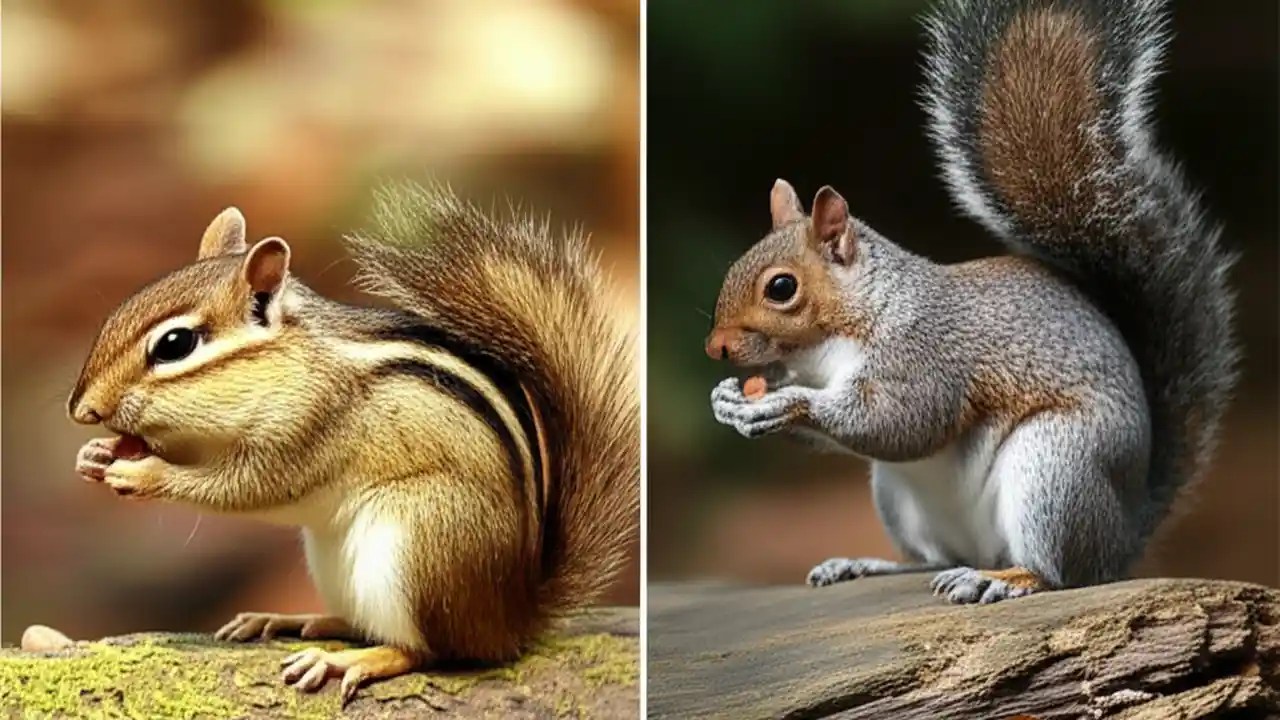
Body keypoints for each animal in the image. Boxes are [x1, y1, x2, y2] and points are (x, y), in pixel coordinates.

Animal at [68, 182, 638, 702]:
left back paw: (344, 660)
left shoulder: (309, 425)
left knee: (429, 650)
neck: (287, 360)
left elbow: (246, 489)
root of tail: (515, 615)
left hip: (419, 546)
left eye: (174, 344)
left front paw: (141, 473)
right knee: (366, 623)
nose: (81, 409)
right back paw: (294, 620)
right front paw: (97, 454)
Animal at [706, 0, 1237, 604]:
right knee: (936, 556)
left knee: (1060, 573)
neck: (839, 335)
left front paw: (786, 402)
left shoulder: (926, 357)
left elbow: (901, 421)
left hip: (1056, 468)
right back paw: (868, 565)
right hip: (898, 497)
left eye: (781, 288)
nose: (716, 348)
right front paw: (729, 400)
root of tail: (1124, 534)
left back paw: (1002, 579)